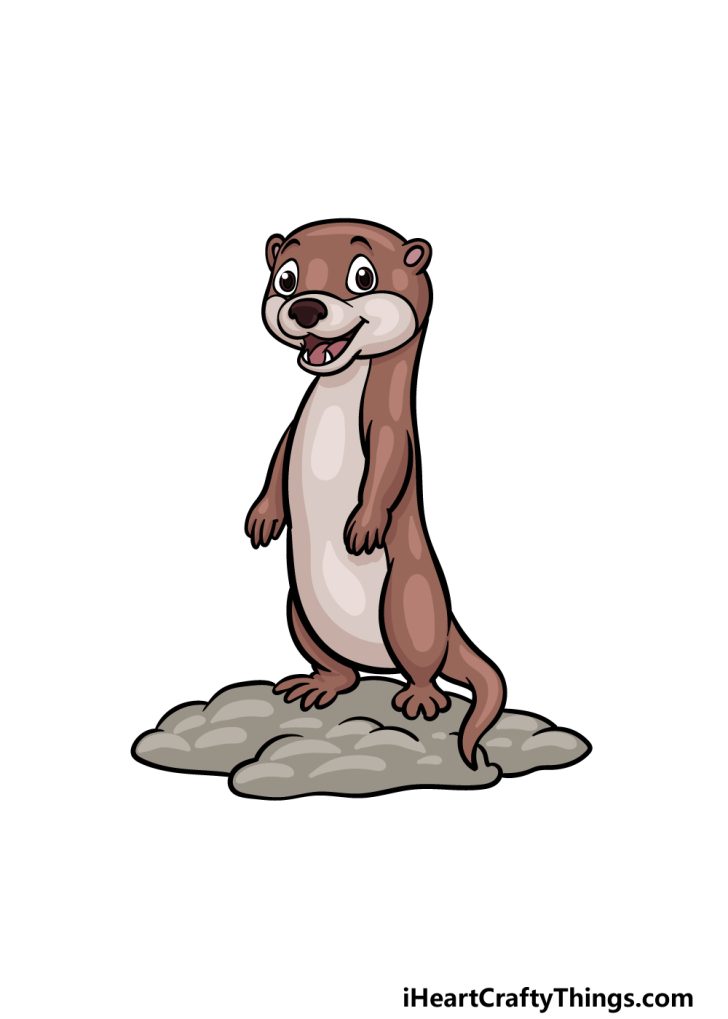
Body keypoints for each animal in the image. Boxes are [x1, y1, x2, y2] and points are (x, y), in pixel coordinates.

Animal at [245, 219, 506, 768]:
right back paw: (320, 683)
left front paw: (363, 525)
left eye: (362, 276)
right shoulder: (295, 424)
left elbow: (388, 465)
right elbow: (278, 455)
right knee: (341, 668)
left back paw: (421, 698)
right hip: (298, 608)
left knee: (423, 660)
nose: (305, 308)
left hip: (410, 597)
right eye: (287, 279)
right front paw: (263, 515)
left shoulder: (390, 427)